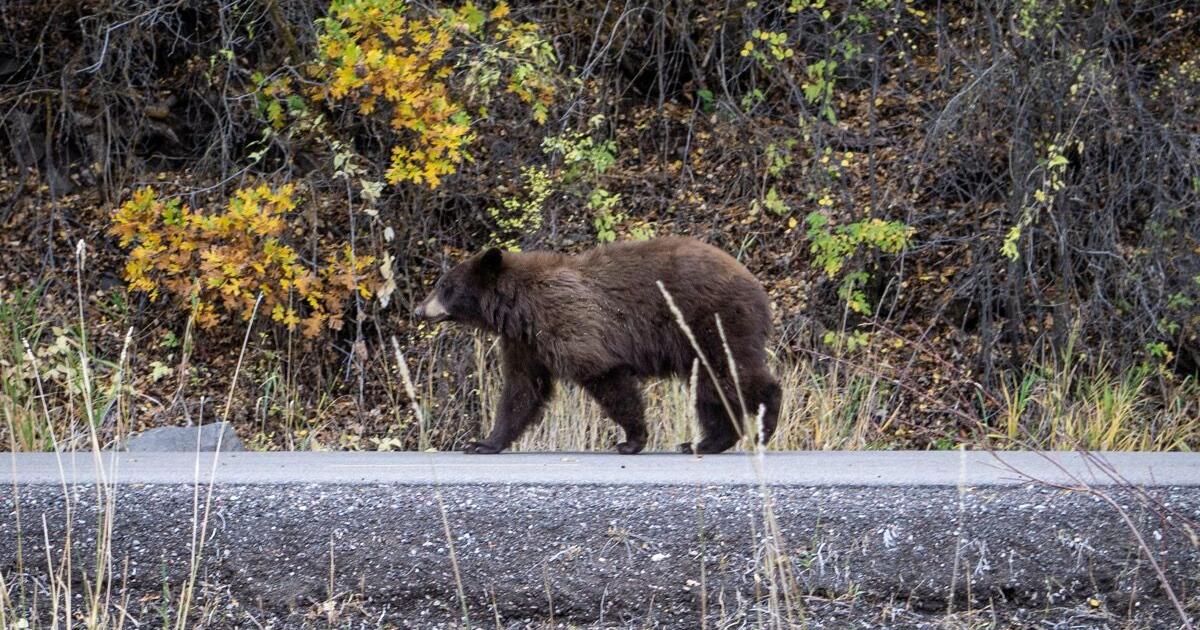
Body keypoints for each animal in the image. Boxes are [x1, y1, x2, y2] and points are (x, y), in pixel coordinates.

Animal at [414, 236, 781, 455]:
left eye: (444, 285)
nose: (419, 309)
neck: (518, 307)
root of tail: (755, 285)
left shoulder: (566, 321)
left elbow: (603, 374)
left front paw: (631, 440)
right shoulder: (525, 342)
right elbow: (522, 390)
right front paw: (484, 442)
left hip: (712, 322)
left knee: (728, 374)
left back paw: (764, 423)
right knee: (711, 388)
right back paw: (703, 442)